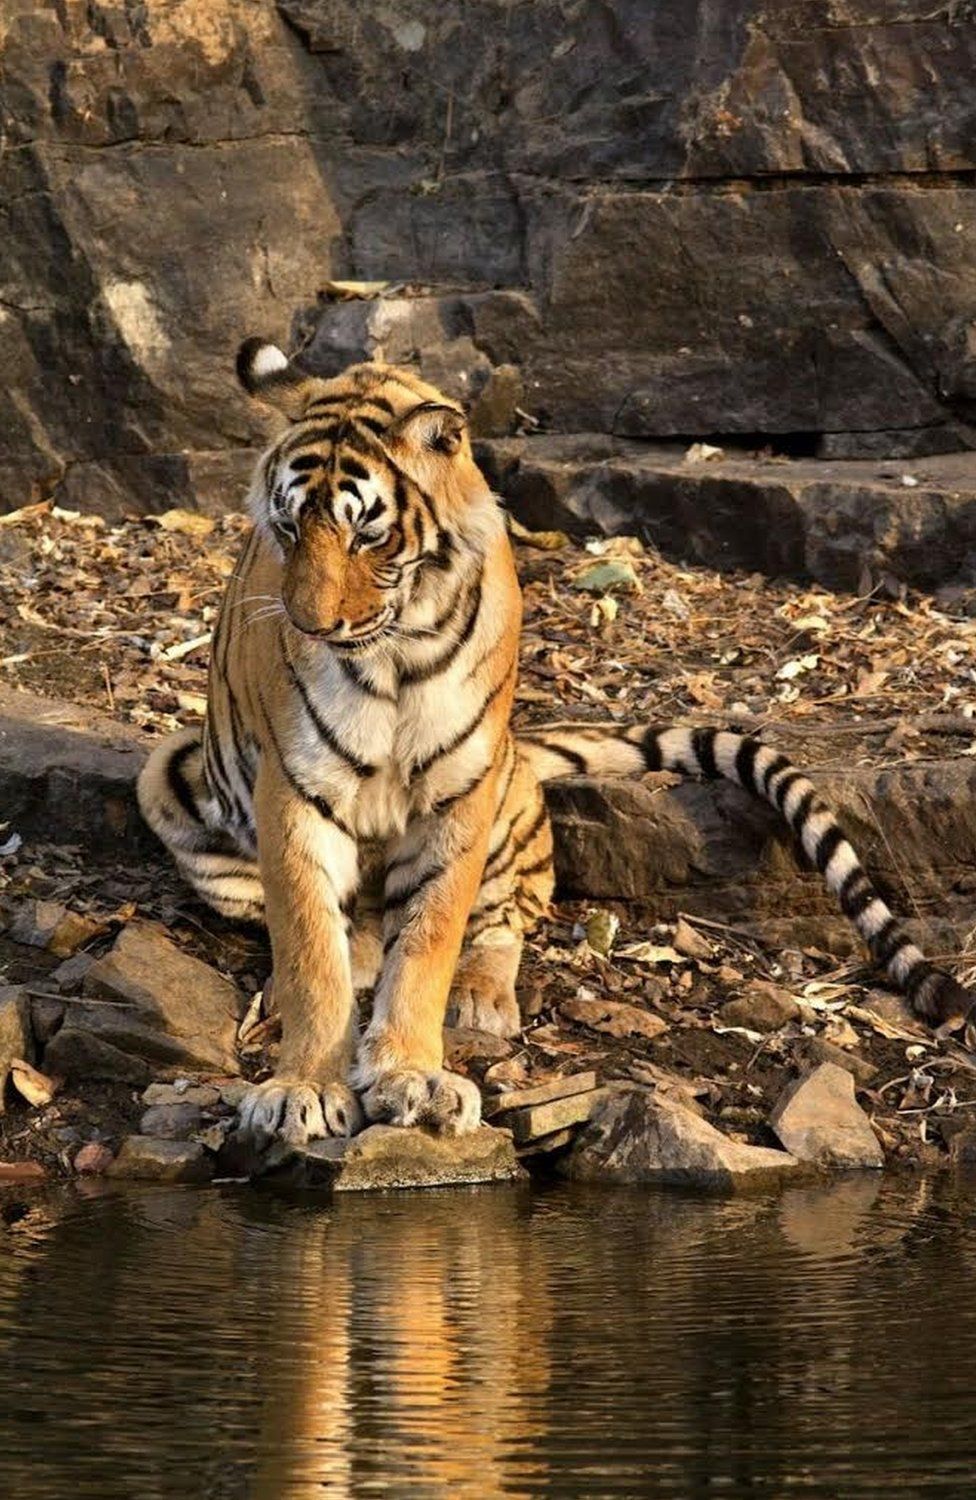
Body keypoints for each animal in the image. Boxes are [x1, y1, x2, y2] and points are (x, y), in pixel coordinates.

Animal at [137, 340, 974, 1147]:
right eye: (287, 527)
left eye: (366, 533)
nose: (309, 626)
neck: (395, 651)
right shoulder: (296, 789)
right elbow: (311, 949)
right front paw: (306, 1086)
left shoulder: (460, 789)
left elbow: (433, 937)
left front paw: (413, 1074)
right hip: (168, 776)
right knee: (339, 929)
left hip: (505, 801)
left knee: (504, 916)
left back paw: (478, 996)